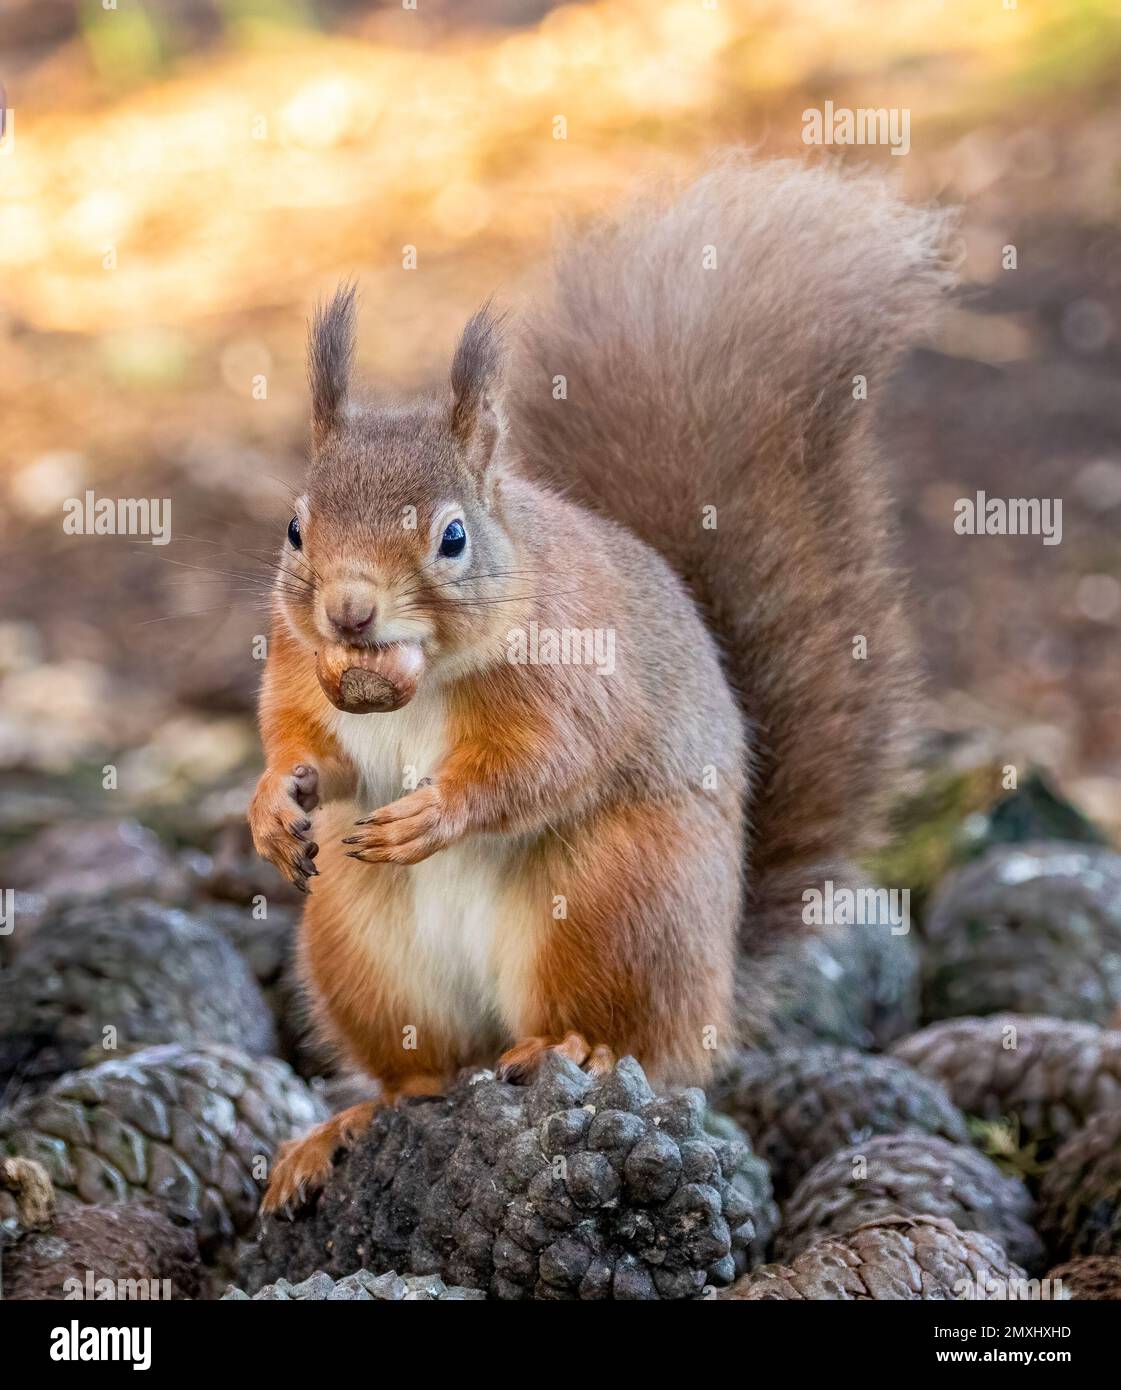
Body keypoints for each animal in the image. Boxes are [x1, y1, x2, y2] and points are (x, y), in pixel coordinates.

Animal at [250, 156, 951, 1211]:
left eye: (452, 537)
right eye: (296, 528)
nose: (349, 612)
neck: (421, 674)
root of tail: (712, 1000)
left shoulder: (571, 678)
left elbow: (542, 762)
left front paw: (435, 814)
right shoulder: (302, 675)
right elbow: (308, 751)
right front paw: (269, 805)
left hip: (617, 903)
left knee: (623, 1040)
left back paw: (571, 1046)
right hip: (356, 948)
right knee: (421, 1074)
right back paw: (347, 1124)